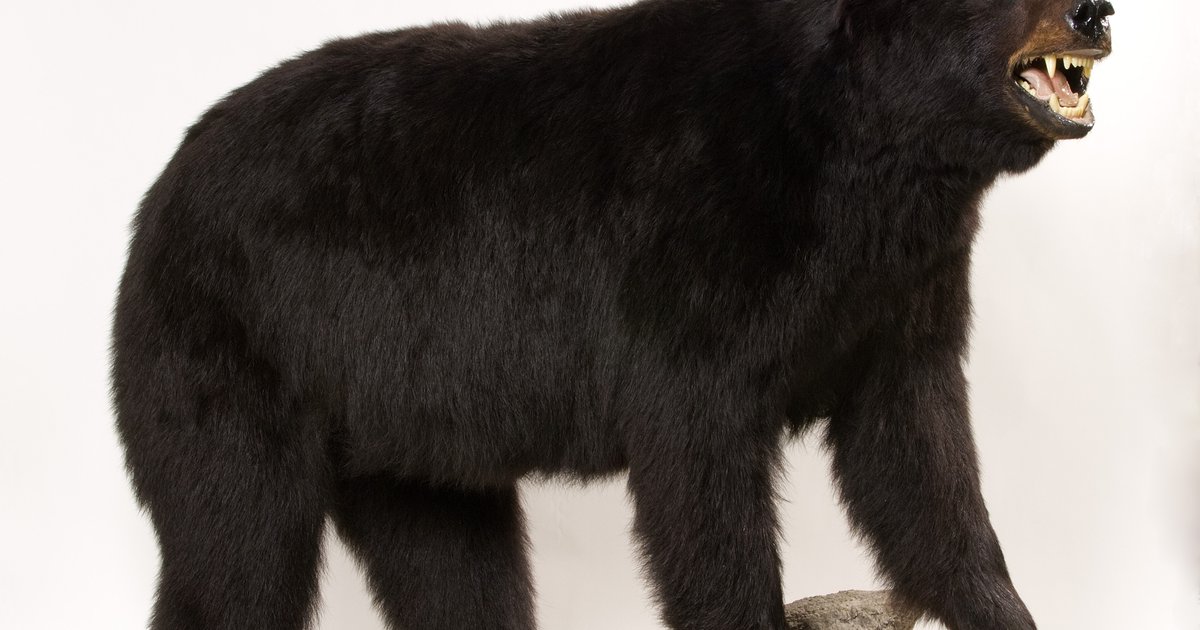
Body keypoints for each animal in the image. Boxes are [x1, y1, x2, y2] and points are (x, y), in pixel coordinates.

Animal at [110, 0, 1114, 628]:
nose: (1095, 12)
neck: (870, 159)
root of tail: (160, 189)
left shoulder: (899, 299)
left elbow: (923, 470)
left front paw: (1000, 604)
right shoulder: (696, 265)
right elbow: (701, 484)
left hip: (408, 435)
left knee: (453, 570)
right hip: (235, 354)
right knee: (235, 548)